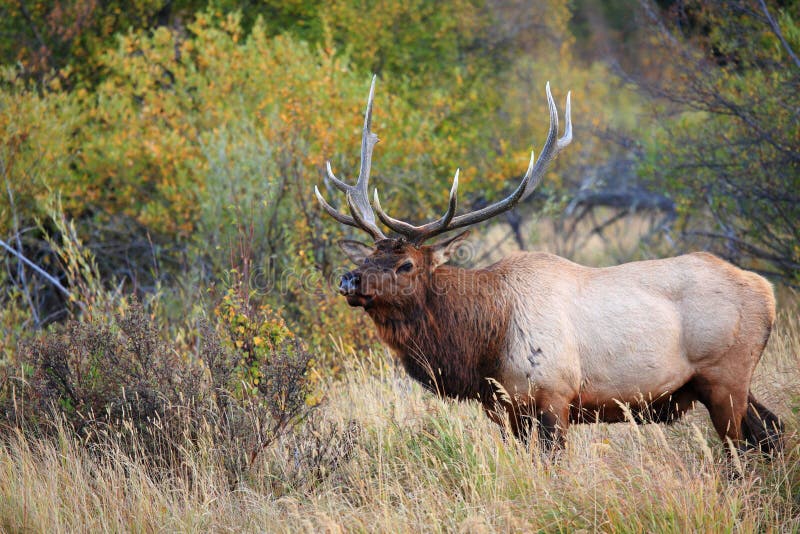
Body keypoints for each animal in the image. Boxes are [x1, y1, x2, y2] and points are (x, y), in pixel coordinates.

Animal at [314, 76, 783, 455]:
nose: (349, 279)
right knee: (773, 430)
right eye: (369, 255)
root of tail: (768, 292)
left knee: (743, 445)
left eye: (407, 264)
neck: (484, 344)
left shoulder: (554, 395)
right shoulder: (506, 409)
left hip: (725, 374)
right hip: (724, 383)